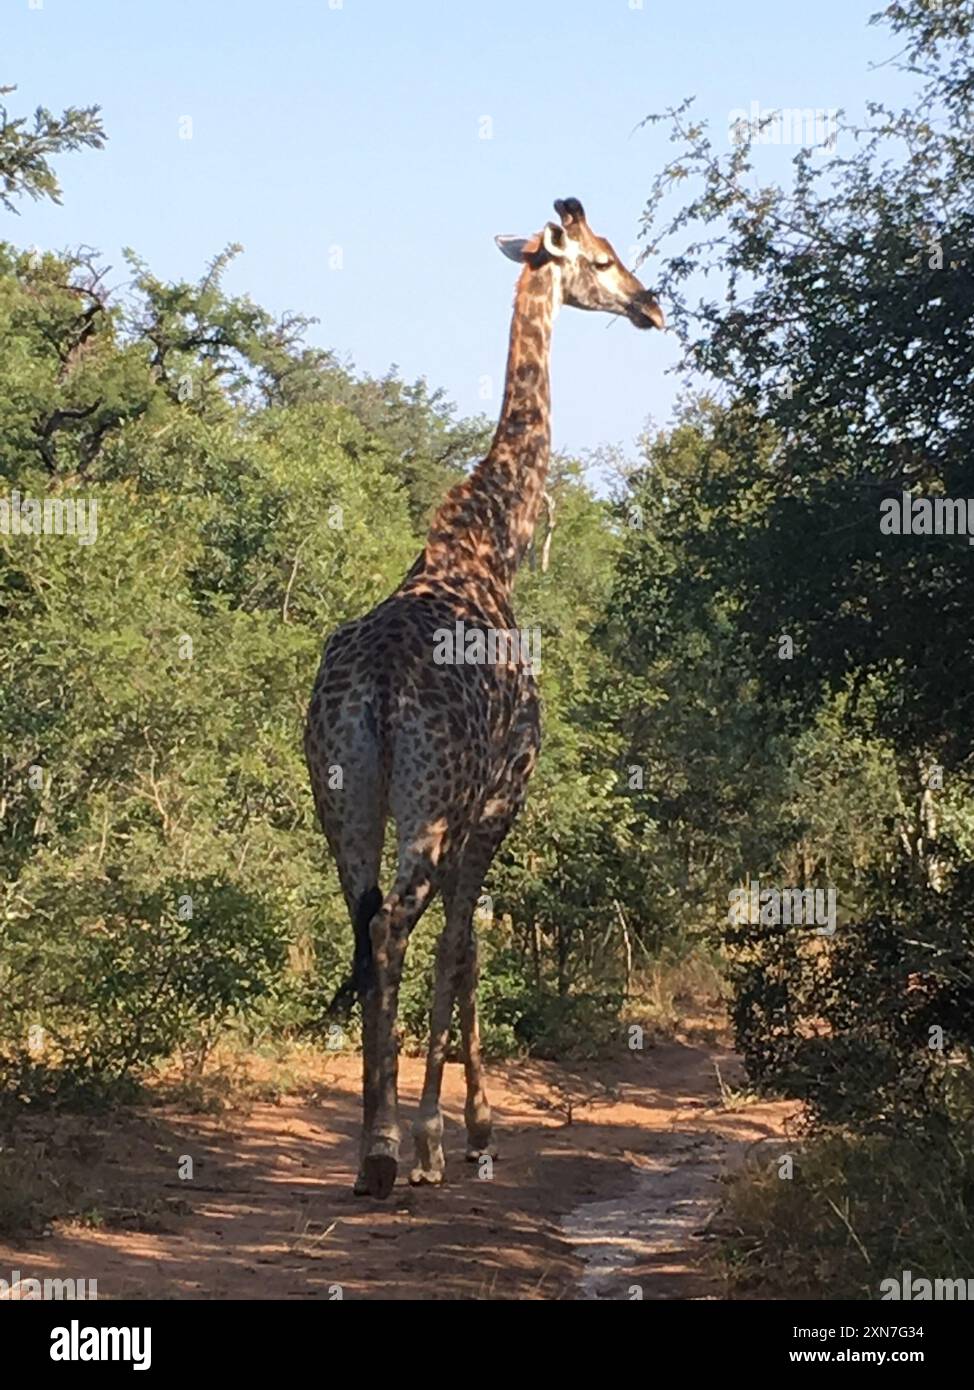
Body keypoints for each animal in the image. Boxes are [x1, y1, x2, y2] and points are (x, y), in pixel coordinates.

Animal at [304, 198, 663, 1199]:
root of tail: (378, 689)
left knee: (363, 924)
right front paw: (462, 1134)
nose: (652, 305)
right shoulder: (502, 793)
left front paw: (445, 1126)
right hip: (425, 804)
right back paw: (388, 1154)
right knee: (398, 929)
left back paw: (369, 1142)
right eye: (604, 260)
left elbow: (460, 946)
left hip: (343, 800)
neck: (491, 543)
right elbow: (465, 945)